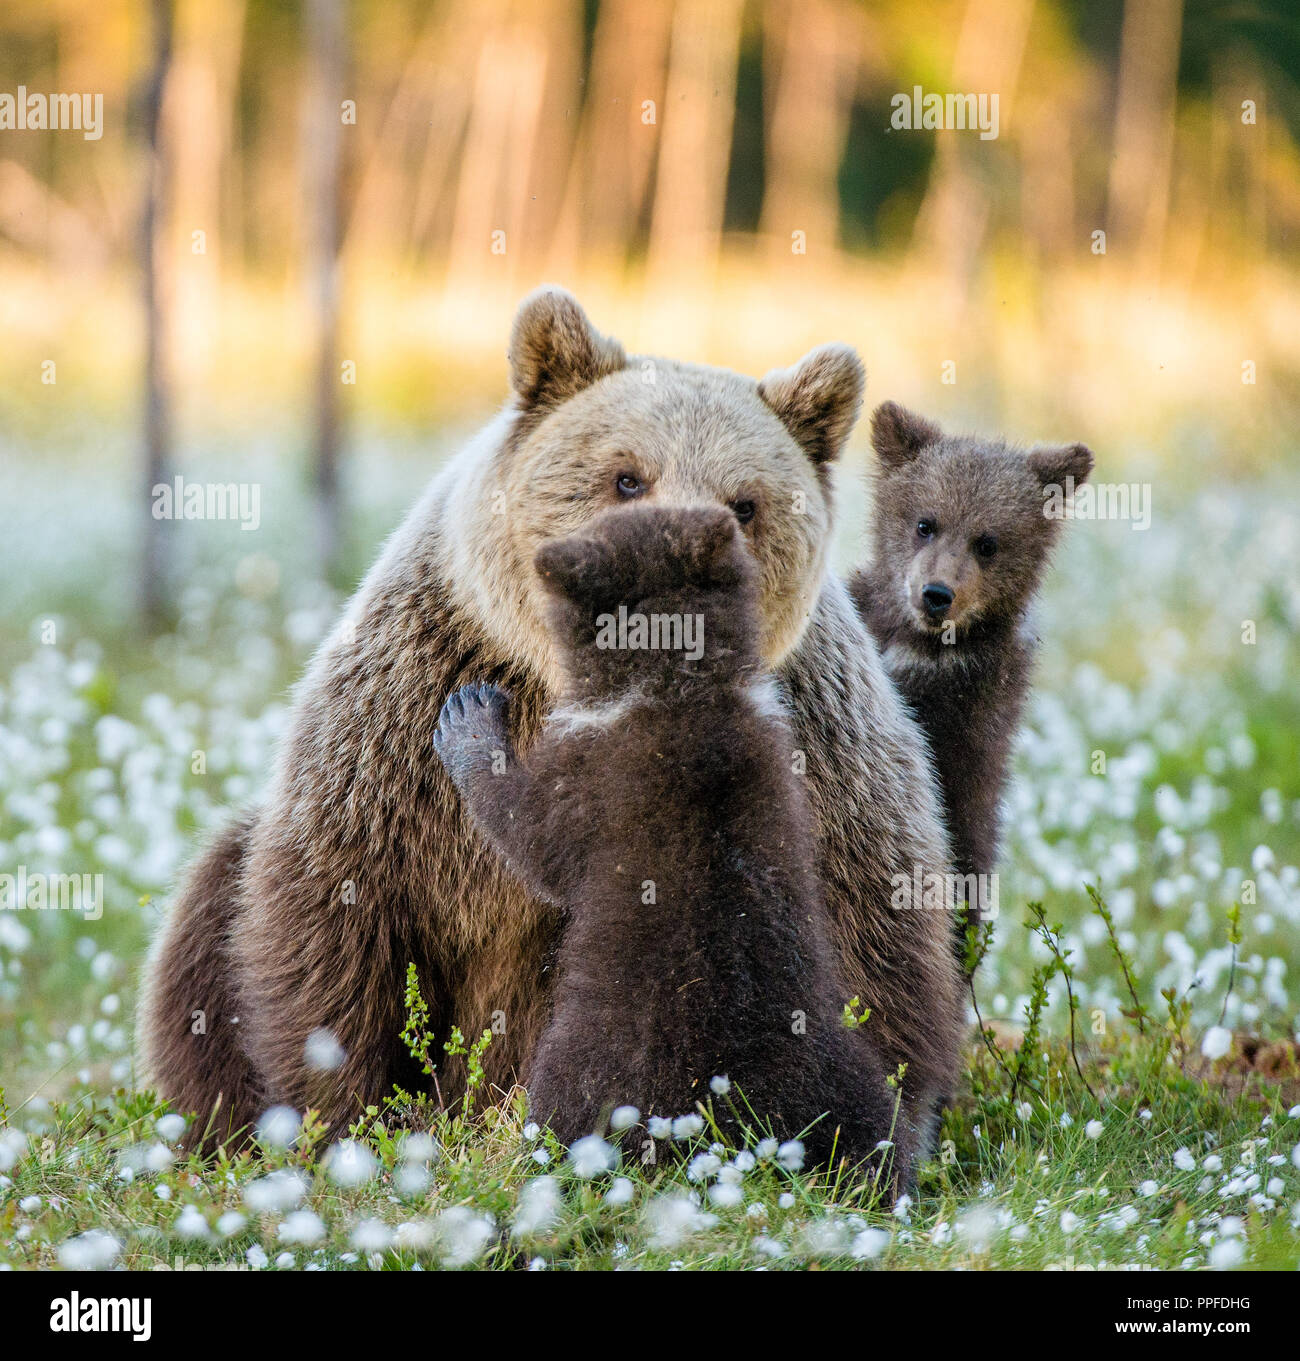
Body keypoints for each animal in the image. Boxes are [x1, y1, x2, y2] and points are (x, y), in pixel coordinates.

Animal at [432, 504, 905, 1177]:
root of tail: (739, 1117)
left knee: (569, 1106)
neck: (679, 688)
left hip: (598, 1050)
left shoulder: (595, 778)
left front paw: (471, 721)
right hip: (837, 1065)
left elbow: (530, 832)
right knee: (874, 1121)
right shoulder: (774, 763)